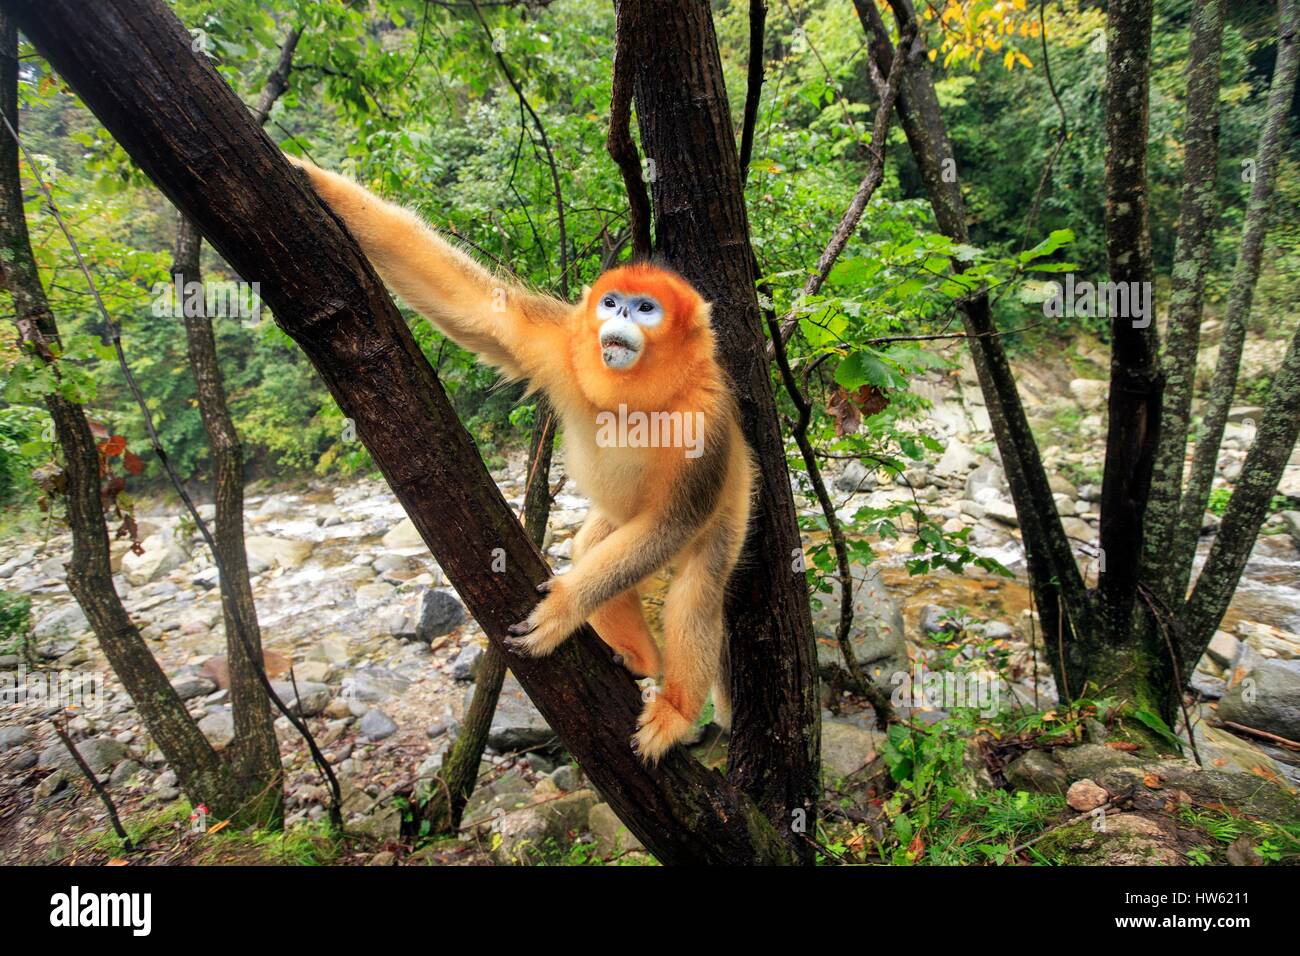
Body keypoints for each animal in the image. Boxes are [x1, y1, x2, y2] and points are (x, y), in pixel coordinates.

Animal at [287, 156, 756, 763]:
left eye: (646, 309)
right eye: (612, 302)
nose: (619, 320)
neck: (636, 391)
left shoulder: (708, 418)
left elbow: (675, 522)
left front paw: (563, 609)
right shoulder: (563, 345)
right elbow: (475, 307)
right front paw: (316, 179)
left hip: (733, 505)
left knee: (696, 589)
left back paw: (676, 706)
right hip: (619, 518)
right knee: (591, 546)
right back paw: (640, 658)